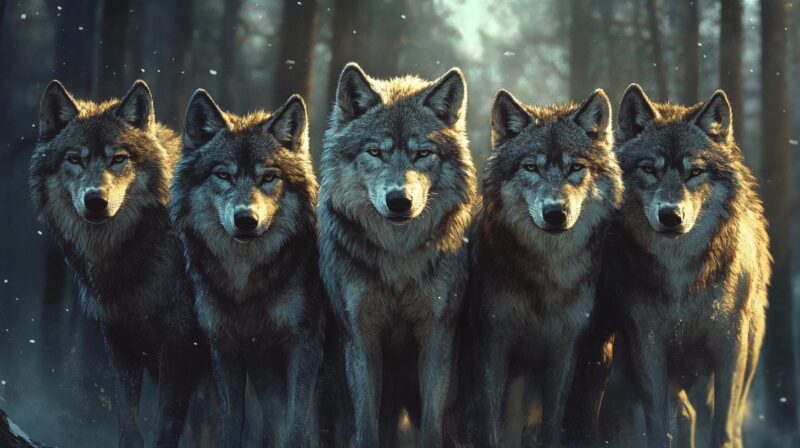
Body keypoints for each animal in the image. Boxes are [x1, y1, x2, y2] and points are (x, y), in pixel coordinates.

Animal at [29, 80, 207, 447]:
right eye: (75, 159)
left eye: (118, 159)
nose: (96, 200)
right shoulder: (120, 340)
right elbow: (128, 421)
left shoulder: (181, 347)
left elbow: (165, 426)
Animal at [169, 90, 328, 447]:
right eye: (223, 175)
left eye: (268, 177)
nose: (246, 219)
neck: (246, 282)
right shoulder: (225, 349)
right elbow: (231, 425)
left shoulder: (305, 345)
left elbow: (296, 428)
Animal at [317, 62, 477, 447]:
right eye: (376, 152)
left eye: (422, 153)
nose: (399, 200)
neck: (398, 258)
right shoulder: (362, 337)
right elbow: (366, 427)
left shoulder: (437, 334)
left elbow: (432, 428)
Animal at [466, 88, 623, 447]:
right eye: (531, 167)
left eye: (575, 167)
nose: (555, 213)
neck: (546, 275)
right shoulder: (493, 346)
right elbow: (490, 425)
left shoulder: (563, 350)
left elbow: (552, 425)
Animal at [600, 84, 770, 448]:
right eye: (650, 169)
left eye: (695, 172)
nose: (671, 215)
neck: (680, 271)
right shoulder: (646, 345)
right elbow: (657, 427)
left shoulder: (730, 344)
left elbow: (723, 428)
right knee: (685, 415)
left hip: (749, 355)